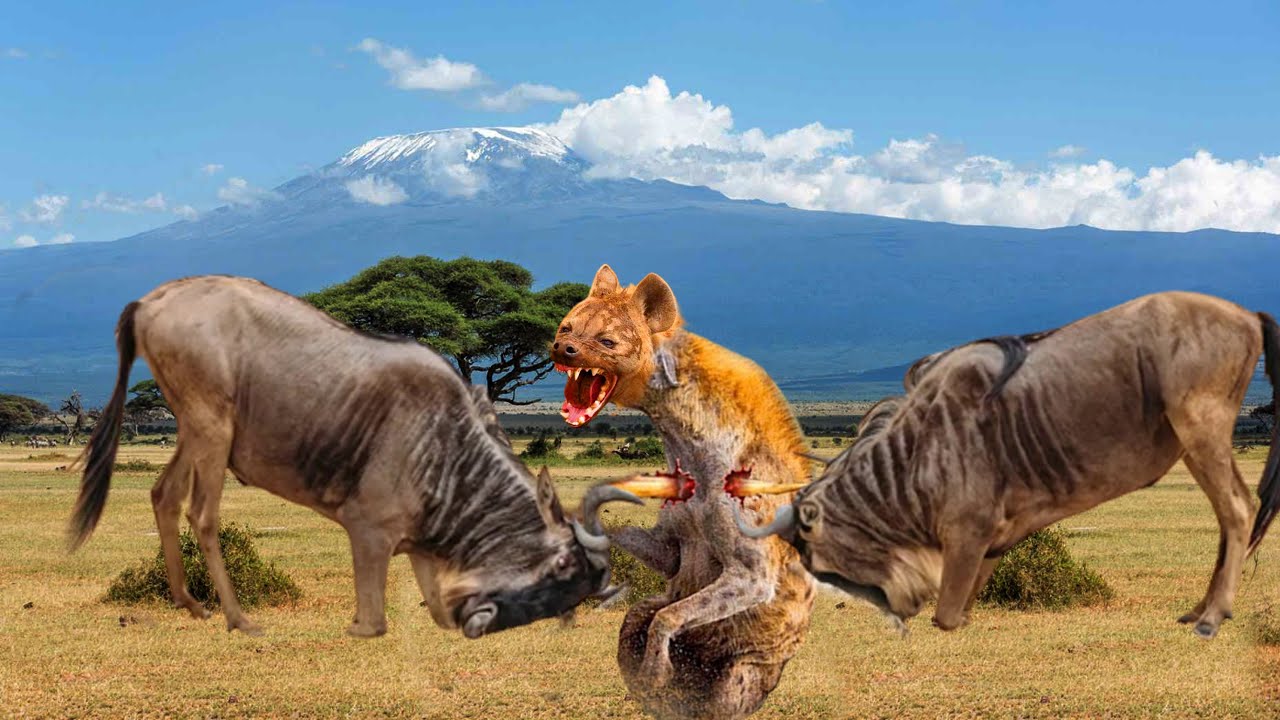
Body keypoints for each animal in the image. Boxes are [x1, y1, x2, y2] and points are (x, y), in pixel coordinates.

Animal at [70, 276, 636, 638]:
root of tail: (149, 301)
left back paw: (190, 604)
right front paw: (364, 627)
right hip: (212, 429)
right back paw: (239, 619)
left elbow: (435, 601)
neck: (449, 448)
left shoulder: (421, 542)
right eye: (564, 567)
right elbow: (374, 619)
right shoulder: (369, 530)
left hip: (193, 427)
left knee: (163, 495)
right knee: (202, 514)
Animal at [734, 291, 1280, 640]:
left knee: (1238, 508)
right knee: (1230, 517)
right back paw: (1199, 609)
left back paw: (1212, 616)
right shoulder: (999, 531)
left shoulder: (967, 531)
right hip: (1193, 443)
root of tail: (1247, 314)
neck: (912, 460)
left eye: (815, 559)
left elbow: (947, 615)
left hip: (1201, 429)